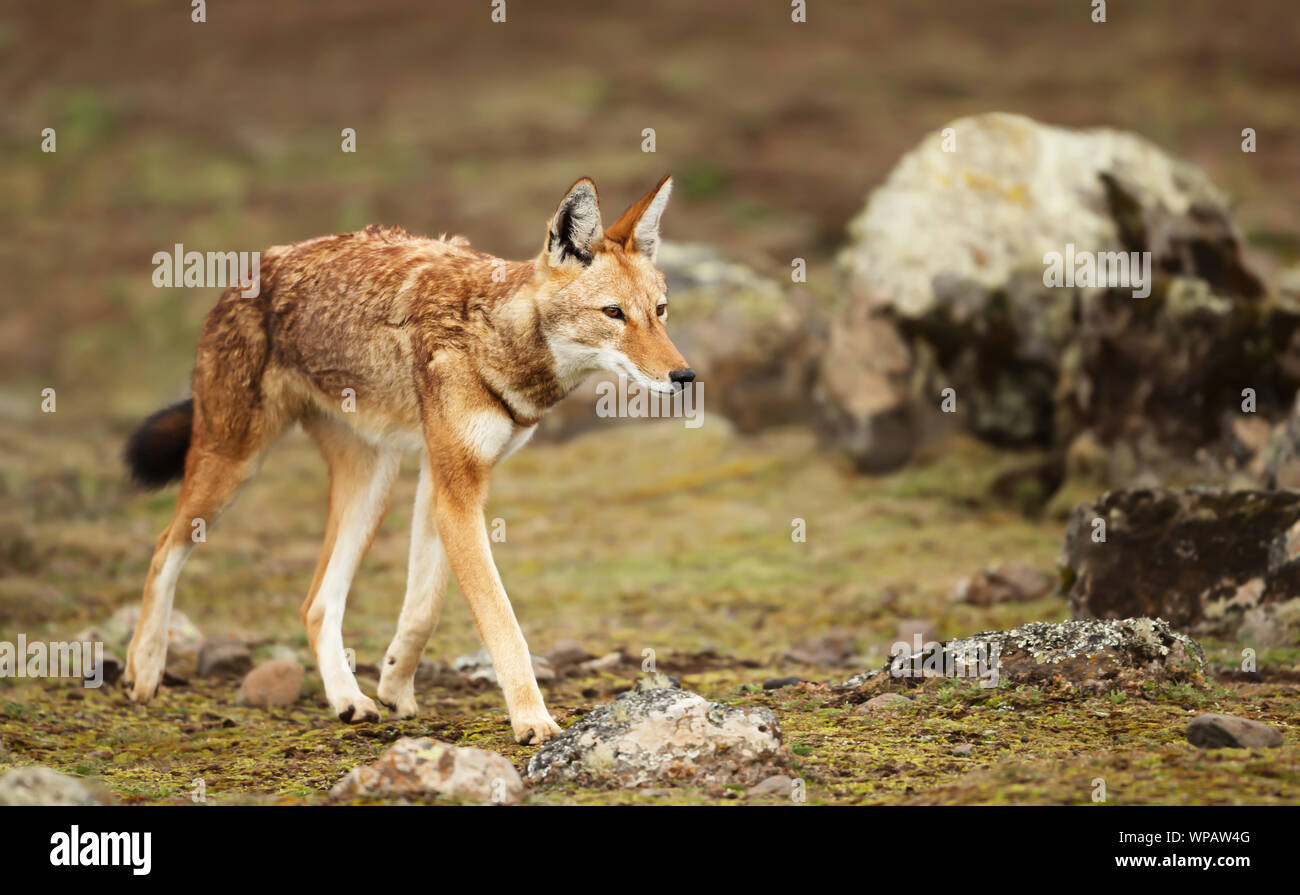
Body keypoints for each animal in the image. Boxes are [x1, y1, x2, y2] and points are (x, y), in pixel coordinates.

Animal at [122, 176, 692, 744]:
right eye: (614, 313)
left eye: (660, 311)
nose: (684, 377)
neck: (493, 339)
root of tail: (250, 268)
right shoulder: (456, 490)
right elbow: (501, 621)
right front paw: (532, 720)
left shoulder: (441, 481)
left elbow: (424, 608)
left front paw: (395, 685)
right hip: (234, 463)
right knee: (163, 547)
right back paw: (143, 670)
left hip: (373, 487)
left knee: (315, 605)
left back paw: (349, 700)